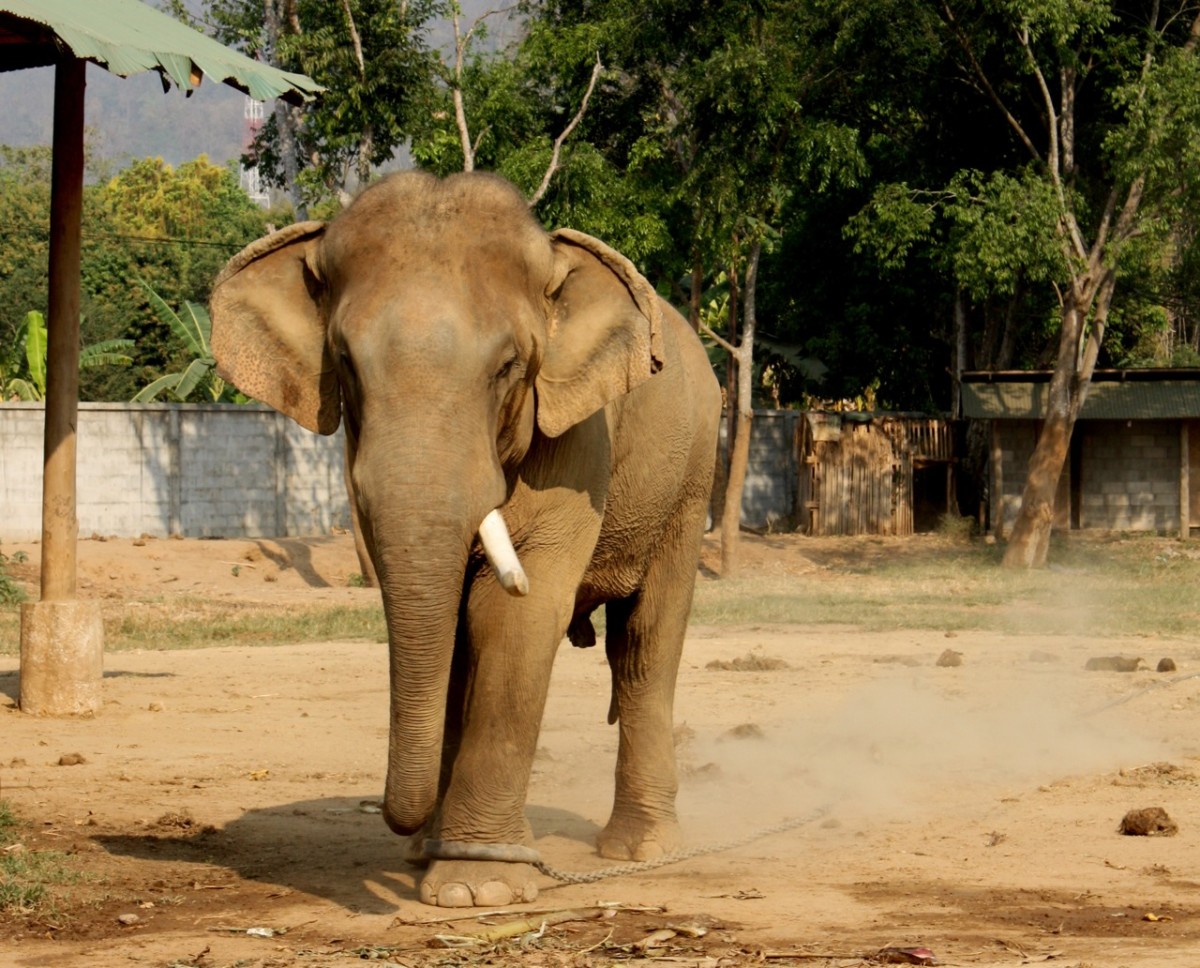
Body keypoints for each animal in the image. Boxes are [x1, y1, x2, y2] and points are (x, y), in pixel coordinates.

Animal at [209, 170, 721, 908]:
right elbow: (451, 628)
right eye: (345, 362)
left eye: (508, 366)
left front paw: (475, 889)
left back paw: (642, 850)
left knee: (645, 645)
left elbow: (512, 617)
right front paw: (442, 859)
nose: (403, 830)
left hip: (689, 476)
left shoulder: (578, 441)